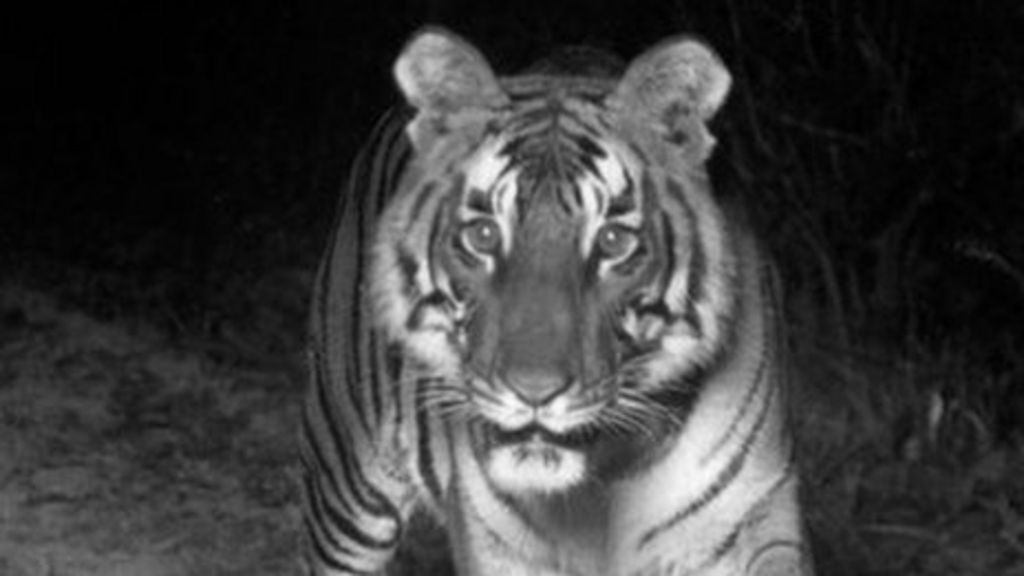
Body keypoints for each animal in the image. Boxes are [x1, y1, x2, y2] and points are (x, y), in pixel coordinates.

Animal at [300, 26, 813, 576]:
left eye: (612, 240)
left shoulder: (756, 513)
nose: (534, 392)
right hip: (345, 491)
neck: (608, 469)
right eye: (483, 235)